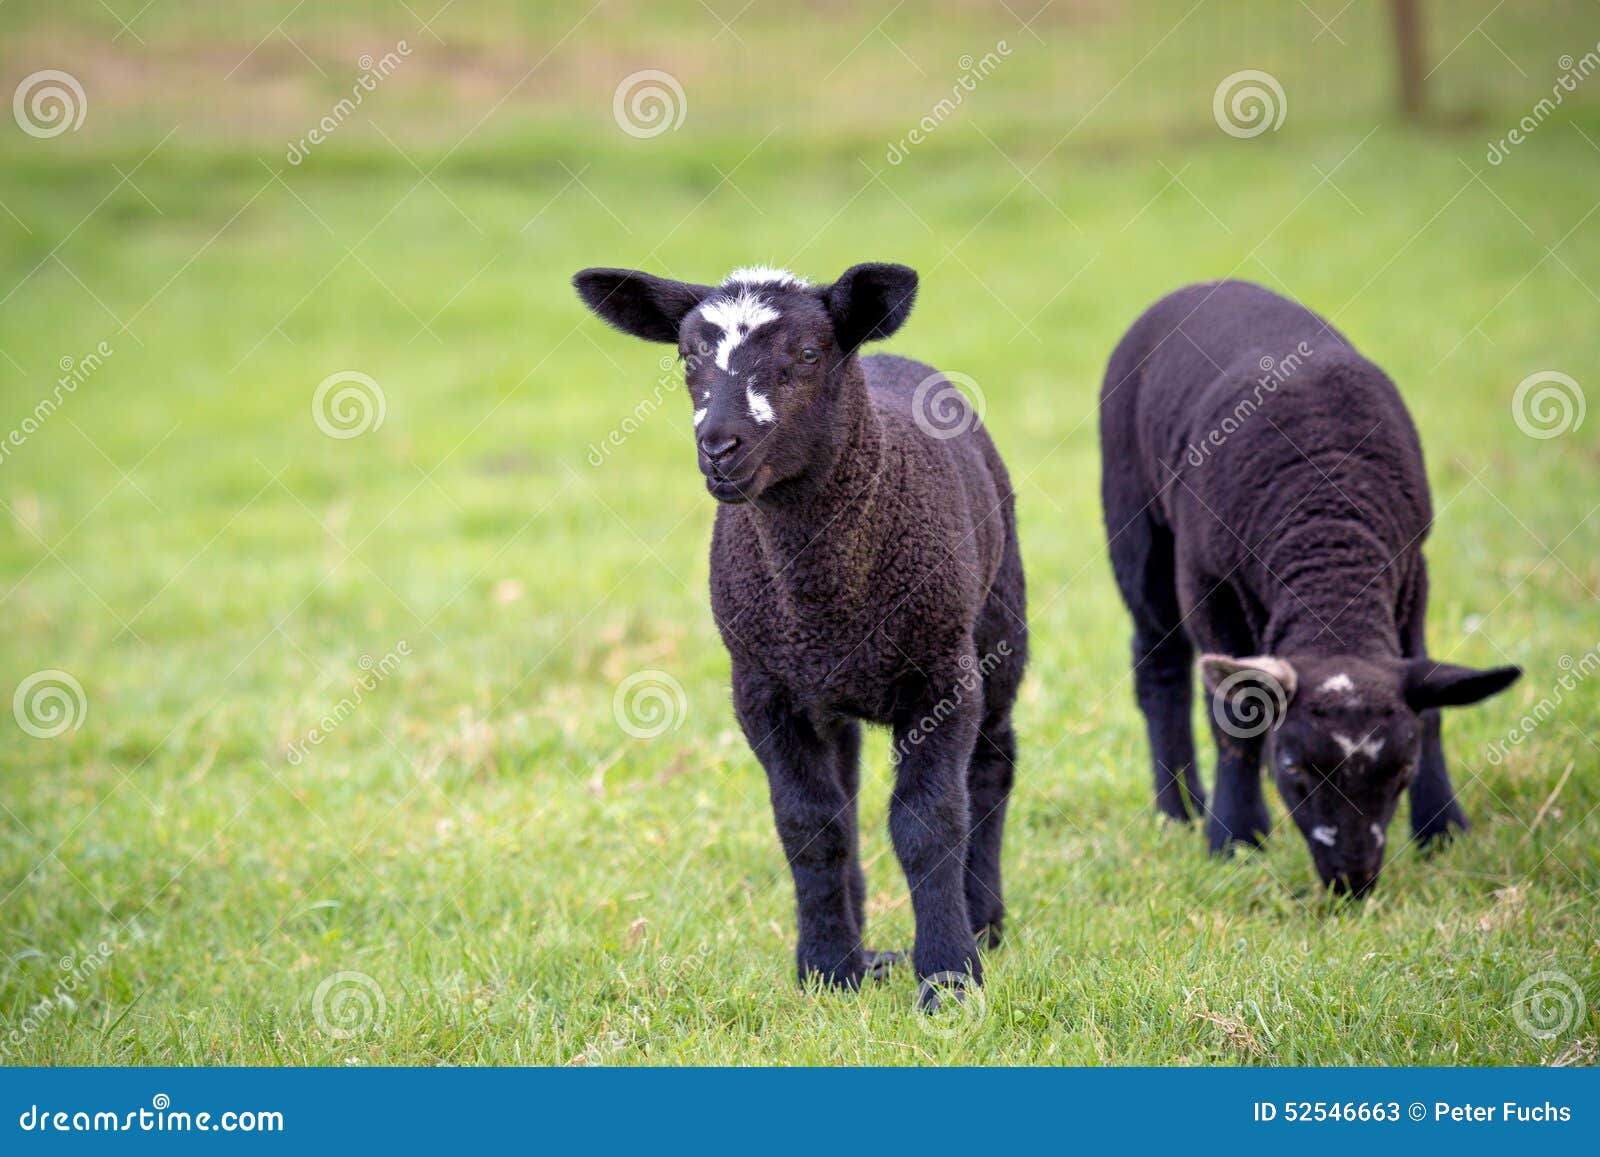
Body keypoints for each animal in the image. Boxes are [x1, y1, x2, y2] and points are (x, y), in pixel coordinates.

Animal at [574, 262, 1027, 1006]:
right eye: (687, 358)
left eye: (810, 354)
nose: (719, 447)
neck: (824, 601)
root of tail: (888, 355)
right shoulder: (763, 689)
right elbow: (811, 826)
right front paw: (827, 968)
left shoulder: (941, 675)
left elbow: (928, 821)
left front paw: (949, 977)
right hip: (828, 691)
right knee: (845, 788)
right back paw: (865, 939)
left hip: (998, 624)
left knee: (992, 764)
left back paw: (983, 917)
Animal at [1099, 279, 1520, 896]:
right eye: (1294, 770)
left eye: (1403, 770)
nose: (1352, 881)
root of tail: (1207, 285)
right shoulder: (1205, 577)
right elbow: (1235, 715)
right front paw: (1235, 840)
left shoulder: (1412, 572)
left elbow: (1431, 712)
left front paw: (1443, 831)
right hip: (1136, 526)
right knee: (1160, 663)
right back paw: (1180, 810)